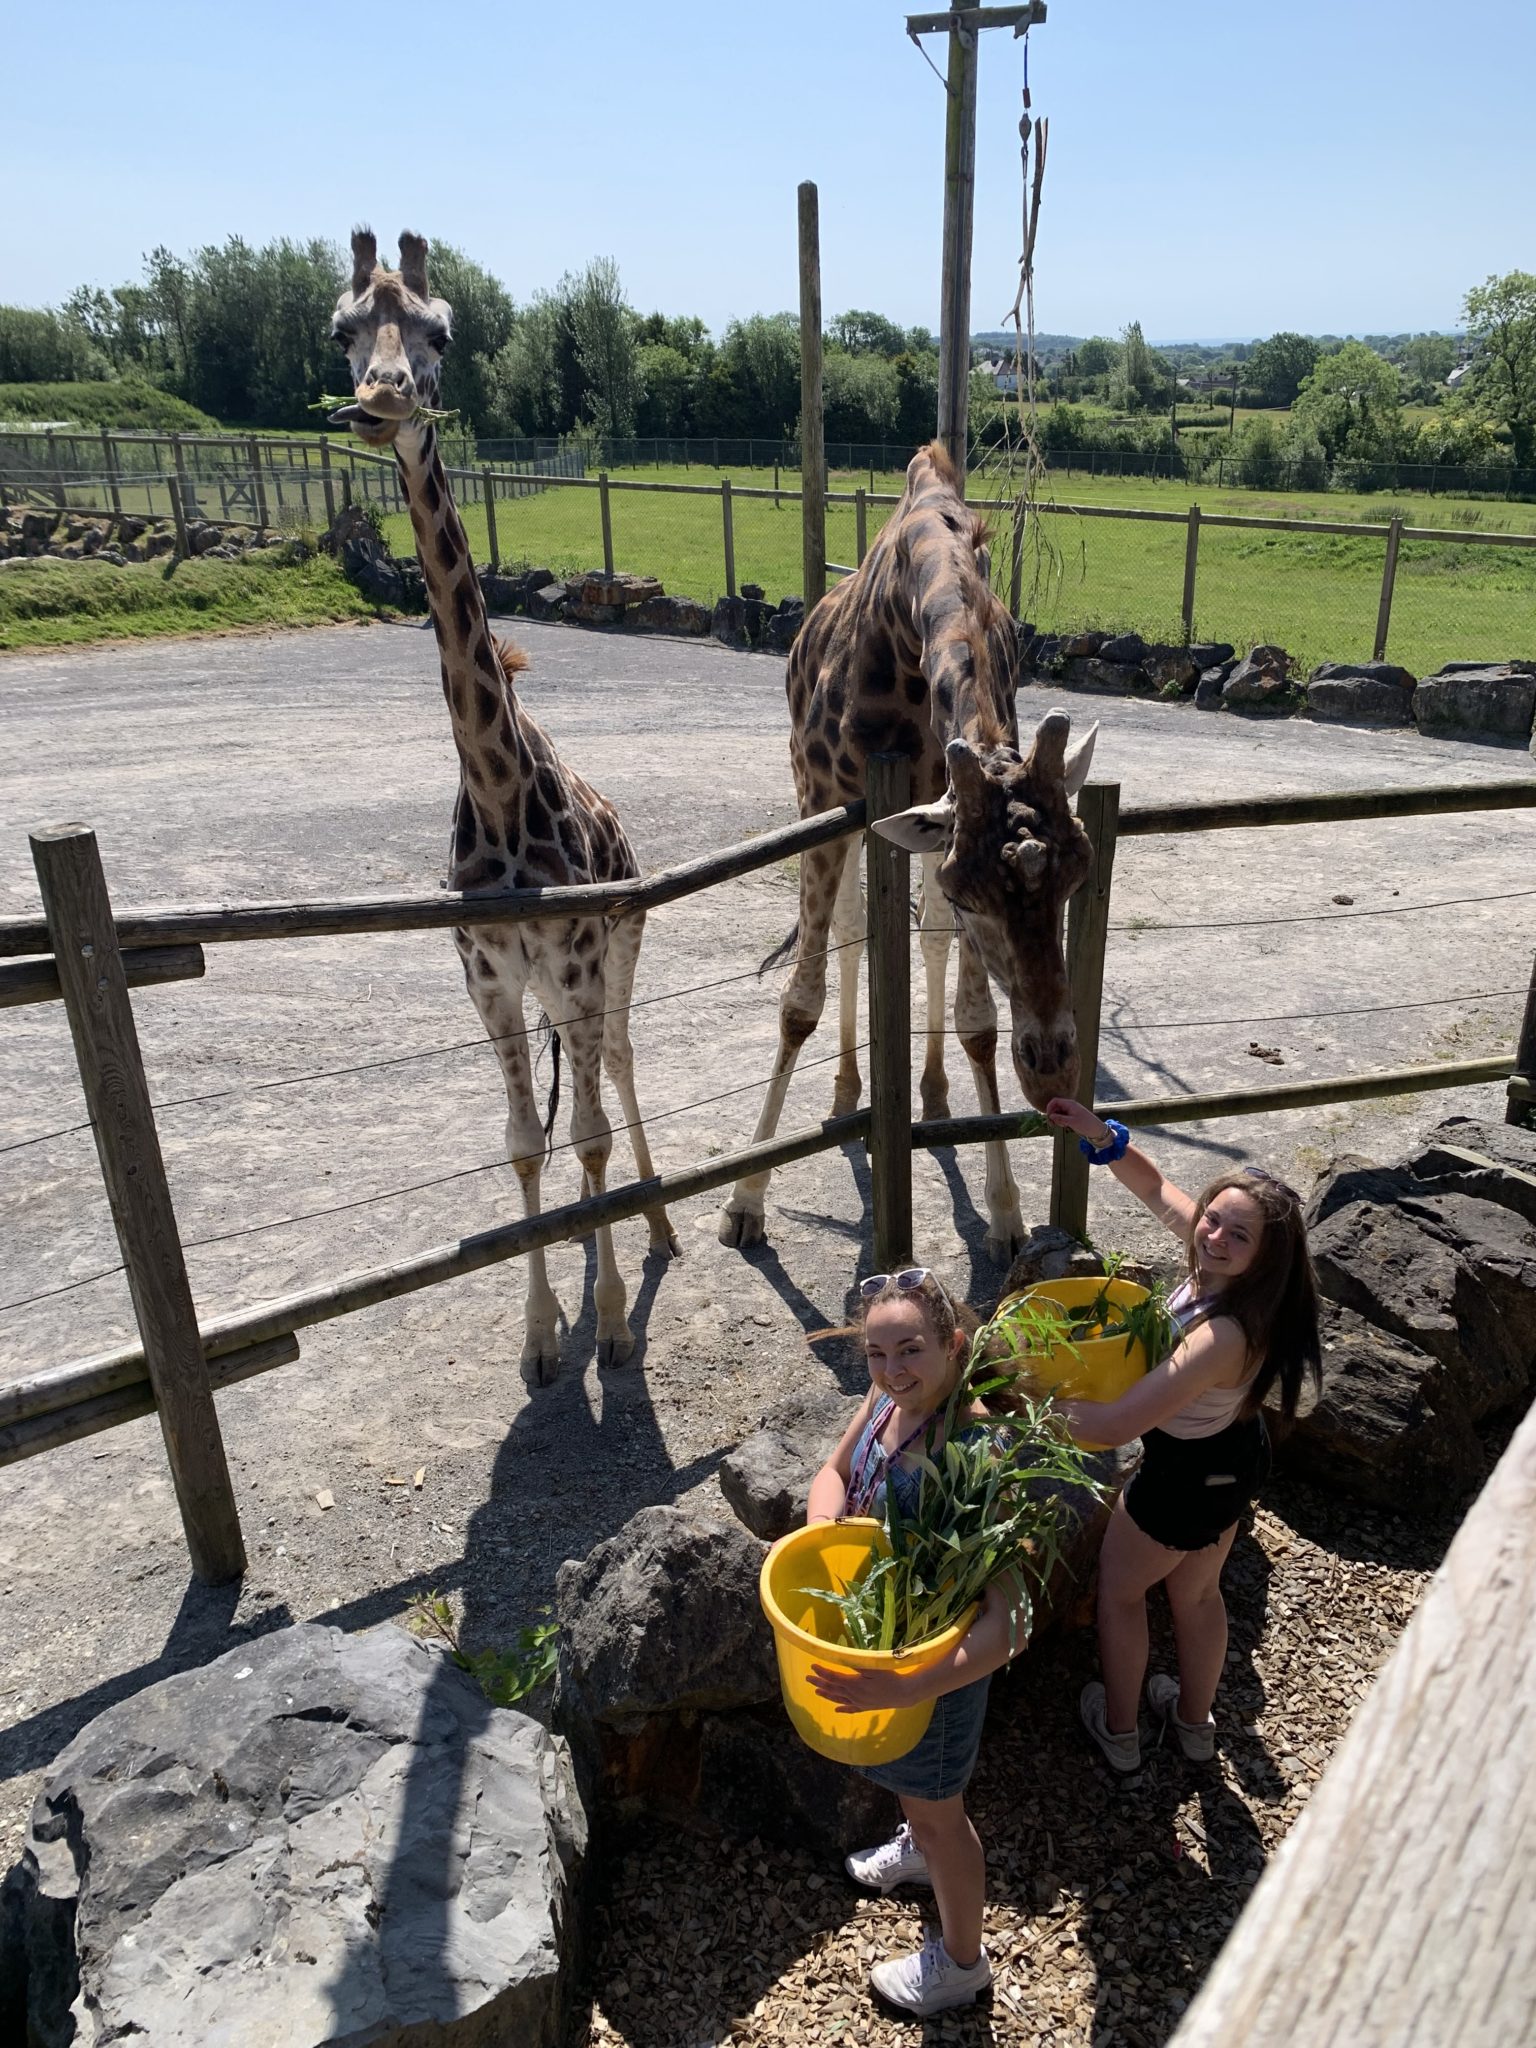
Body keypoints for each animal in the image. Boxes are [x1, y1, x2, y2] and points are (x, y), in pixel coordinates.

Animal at [330, 228, 677, 1382]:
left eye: (440, 331)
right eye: (343, 328)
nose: (379, 400)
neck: (496, 782)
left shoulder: (574, 961)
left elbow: (589, 1134)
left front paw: (609, 1323)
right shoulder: (487, 981)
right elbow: (526, 1144)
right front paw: (538, 1338)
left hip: (618, 951)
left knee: (619, 1065)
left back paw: (656, 1224)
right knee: (581, 1092)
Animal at [718, 440, 1097, 1260]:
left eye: (1075, 881)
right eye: (971, 894)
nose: (1053, 1073)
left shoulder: (938, 811)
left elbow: (977, 1018)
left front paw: (1008, 1214)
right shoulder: (826, 799)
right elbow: (799, 1002)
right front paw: (744, 1200)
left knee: (920, 943)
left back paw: (932, 1094)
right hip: (841, 809)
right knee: (853, 933)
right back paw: (847, 1094)